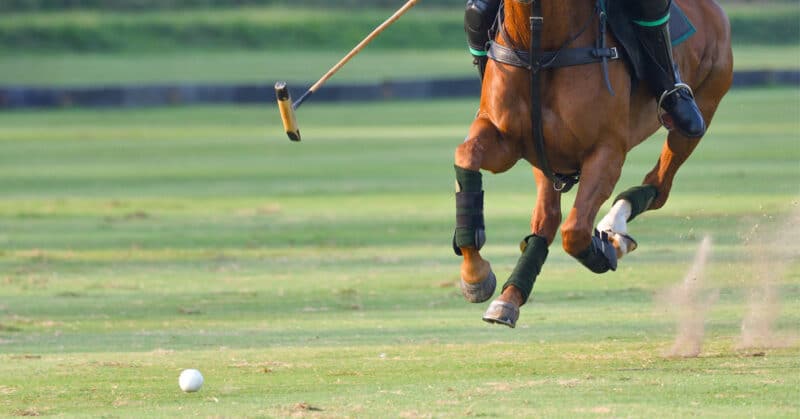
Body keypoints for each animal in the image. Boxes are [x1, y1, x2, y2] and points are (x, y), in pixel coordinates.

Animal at [453, 0, 733, 327]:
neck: (541, 46)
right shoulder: (506, 140)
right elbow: (466, 155)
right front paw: (475, 276)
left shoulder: (607, 150)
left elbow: (575, 232)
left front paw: (606, 248)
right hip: (545, 160)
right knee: (547, 219)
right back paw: (509, 298)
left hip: (701, 110)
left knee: (659, 185)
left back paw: (614, 228)